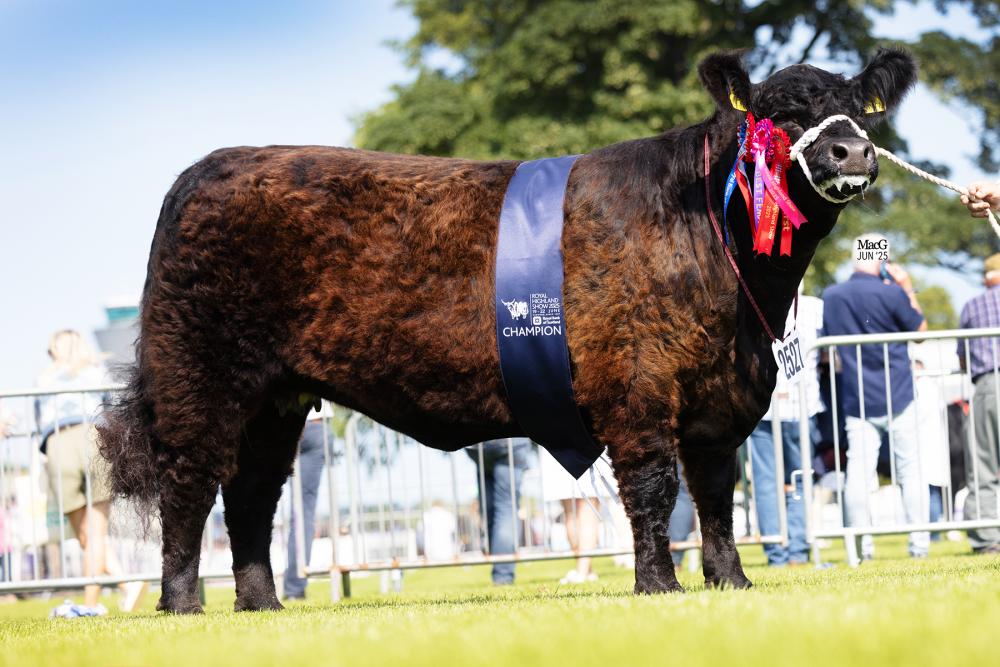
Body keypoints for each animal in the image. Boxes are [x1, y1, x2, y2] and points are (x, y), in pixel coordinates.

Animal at [98, 48, 917, 613]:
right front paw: (660, 585)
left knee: (253, 491)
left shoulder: (720, 397)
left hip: (277, 395)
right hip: (199, 373)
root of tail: (205, 170)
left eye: (860, 109)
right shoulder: (637, 382)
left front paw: (731, 580)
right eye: (782, 115)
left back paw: (260, 601)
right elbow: (653, 489)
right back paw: (182, 601)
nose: (851, 151)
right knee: (190, 481)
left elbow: (716, 493)